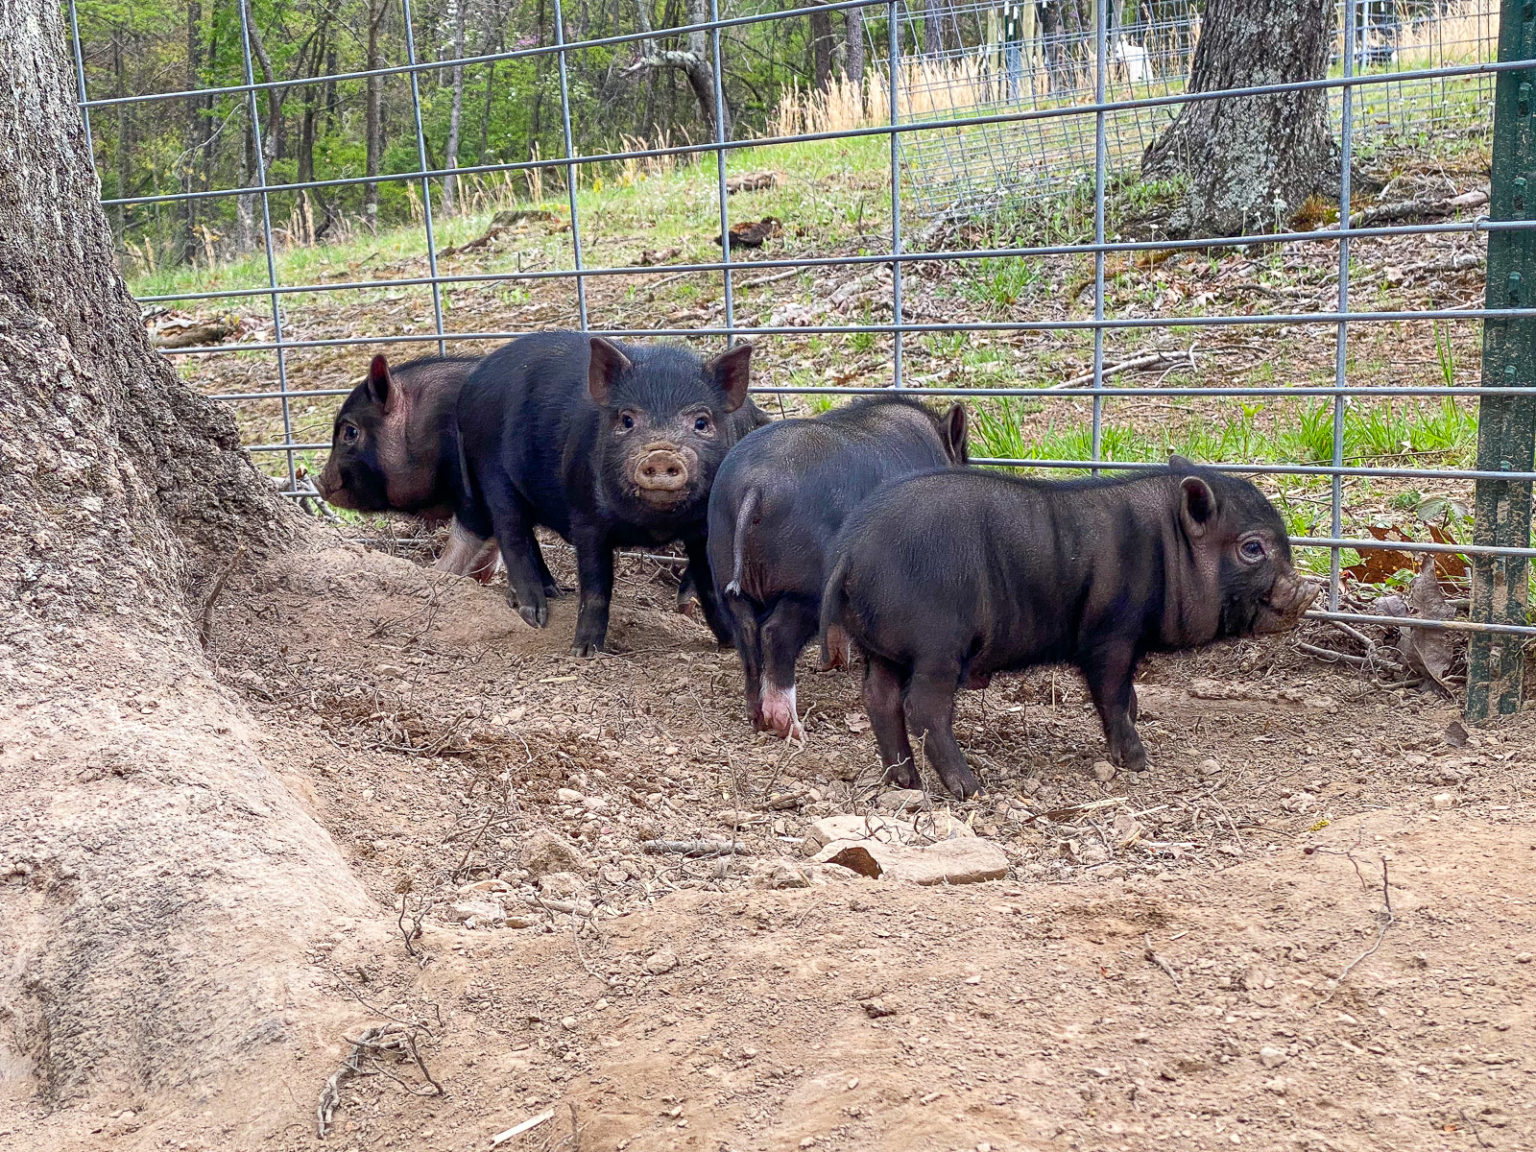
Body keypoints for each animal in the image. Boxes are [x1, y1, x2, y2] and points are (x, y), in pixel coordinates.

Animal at [455, 330, 762, 656]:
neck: (655, 526)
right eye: (627, 420)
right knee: (511, 532)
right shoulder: (586, 516)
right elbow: (595, 586)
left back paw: (556, 591)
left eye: (701, 422)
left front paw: (729, 646)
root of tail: (471, 383)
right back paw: (534, 615)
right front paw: (583, 652)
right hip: (492, 471)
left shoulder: (702, 527)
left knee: (529, 535)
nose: (660, 454)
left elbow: (710, 585)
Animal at [706, 395, 969, 742]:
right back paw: (793, 729)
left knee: (747, 632)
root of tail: (756, 485)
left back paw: (757, 719)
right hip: (804, 585)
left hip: (724, 568)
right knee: (775, 635)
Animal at [821, 457, 1320, 798]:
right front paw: (1137, 762)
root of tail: (848, 552)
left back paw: (904, 781)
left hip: (882, 649)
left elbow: (1130, 697)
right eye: (1252, 548)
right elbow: (1114, 695)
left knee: (879, 699)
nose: (1306, 589)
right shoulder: (1111, 636)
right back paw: (971, 788)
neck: (1167, 546)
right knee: (922, 706)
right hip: (936, 646)